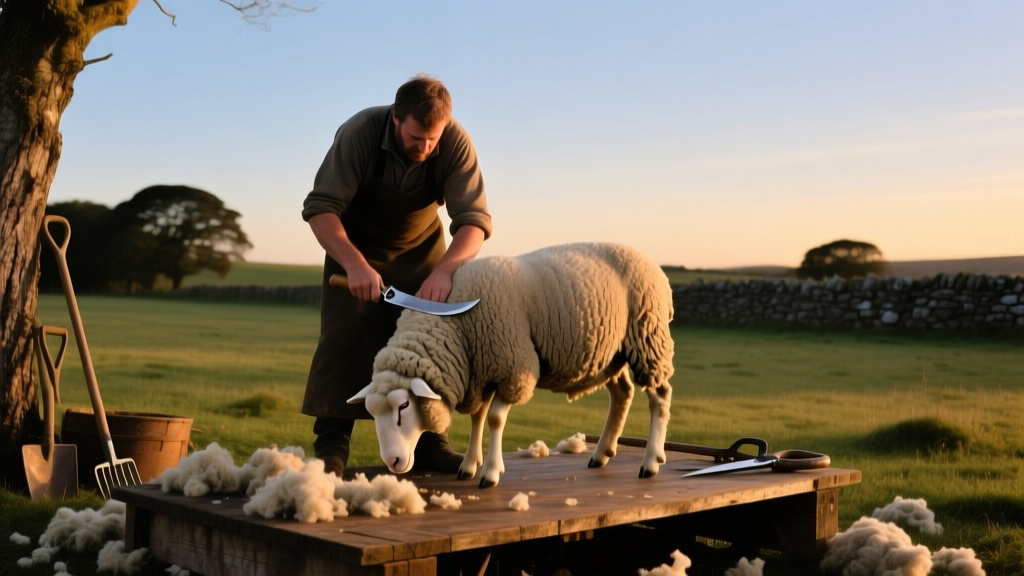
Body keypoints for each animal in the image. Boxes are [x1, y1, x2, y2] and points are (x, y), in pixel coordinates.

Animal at [348, 242, 674, 488]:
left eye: (403, 407)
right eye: (372, 413)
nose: (393, 462)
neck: (457, 329)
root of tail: (655, 268)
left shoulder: (513, 368)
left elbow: (494, 419)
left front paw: (490, 473)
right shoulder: (480, 371)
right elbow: (477, 418)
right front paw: (469, 466)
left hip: (647, 336)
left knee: (659, 396)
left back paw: (650, 462)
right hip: (610, 354)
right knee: (622, 394)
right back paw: (601, 454)